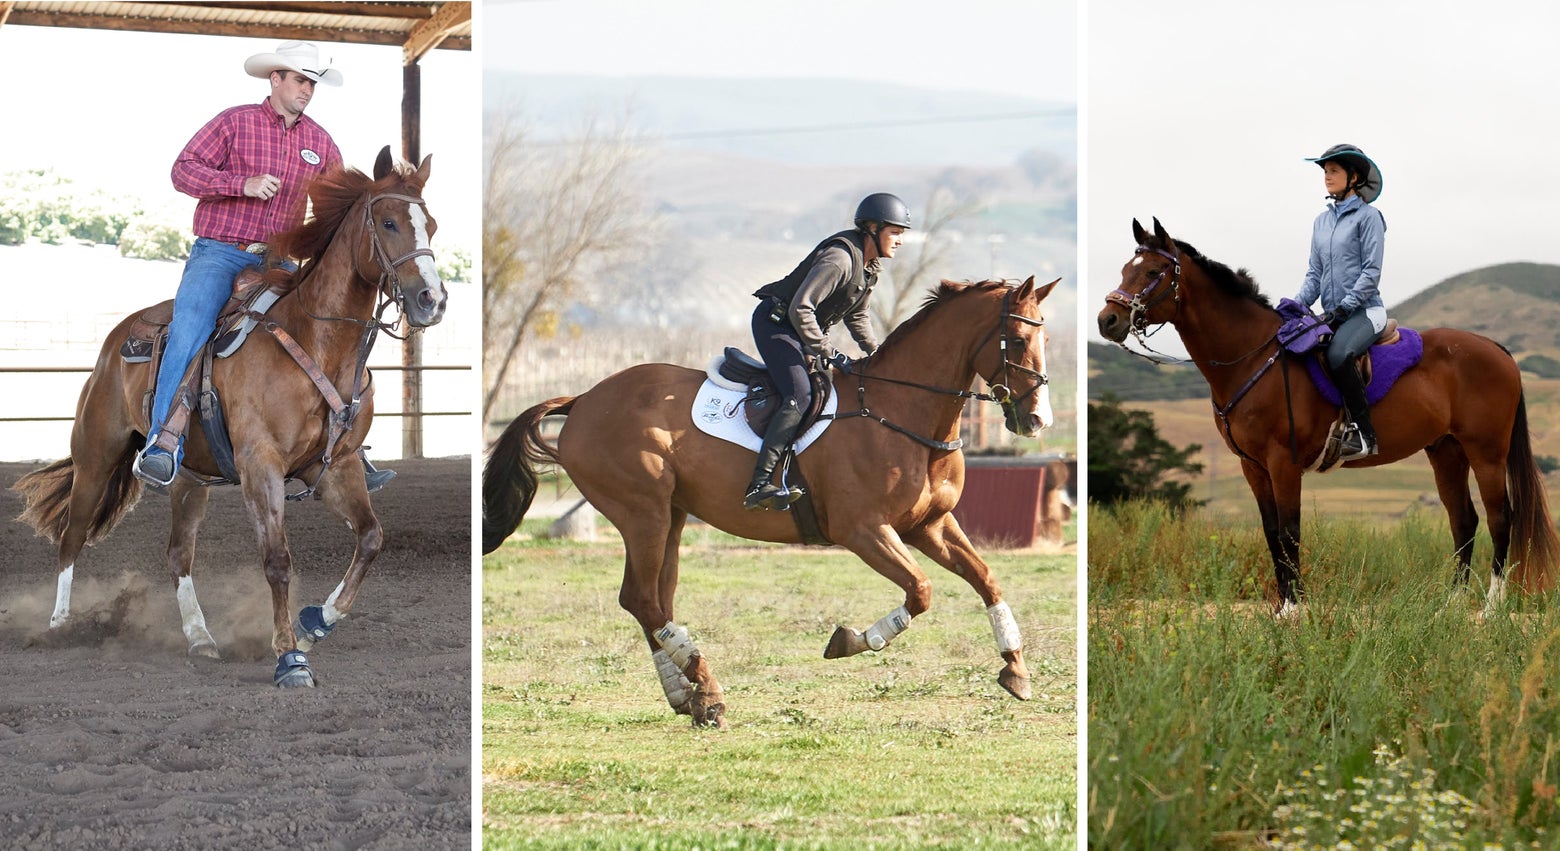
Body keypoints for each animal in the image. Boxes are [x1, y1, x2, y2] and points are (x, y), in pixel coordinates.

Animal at [12, 146, 447, 688]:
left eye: (431, 225)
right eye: (388, 223)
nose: (433, 300)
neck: (318, 344)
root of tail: (115, 341)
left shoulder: (337, 466)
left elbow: (370, 539)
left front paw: (314, 622)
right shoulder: (260, 465)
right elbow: (277, 559)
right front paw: (289, 657)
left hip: (188, 478)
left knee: (178, 553)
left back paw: (200, 637)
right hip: (96, 457)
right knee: (71, 537)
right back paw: (60, 625)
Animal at [483, 276, 1057, 727]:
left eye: (1043, 335)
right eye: (1016, 338)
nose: (1036, 420)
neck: (902, 411)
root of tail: (583, 400)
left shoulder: (930, 524)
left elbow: (986, 579)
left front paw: (1016, 669)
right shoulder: (863, 530)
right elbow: (920, 591)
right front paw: (848, 640)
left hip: (669, 517)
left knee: (652, 602)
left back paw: (688, 696)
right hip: (642, 513)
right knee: (643, 600)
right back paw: (708, 693)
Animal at [1097, 218, 1559, 618]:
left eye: (1153, 271)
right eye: (1124, 269)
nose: (1108, 320)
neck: (1252, 357)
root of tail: (1495, 348)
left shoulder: (1283, 463)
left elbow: (1290, 531)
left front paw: (1295, 610)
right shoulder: (1253, 467)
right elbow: (1271, 534)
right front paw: (1282, 606)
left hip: (1486, 452)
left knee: (1501, 518)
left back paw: (1492, 608)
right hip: (1446, 451)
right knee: (1463, 520)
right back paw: (1451, 606)